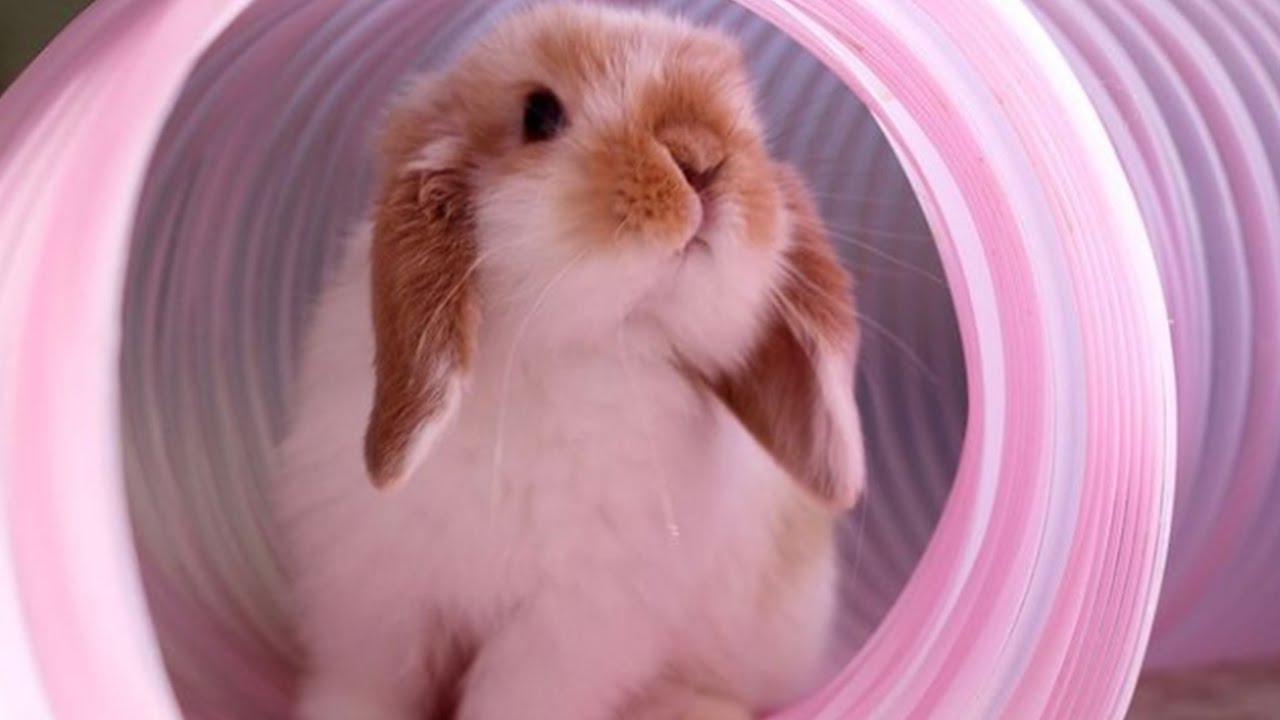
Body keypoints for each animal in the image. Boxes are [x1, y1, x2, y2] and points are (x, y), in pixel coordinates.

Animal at [272, 3, 866, 719]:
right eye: (540, 114)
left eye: (747, 115)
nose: (701, 157)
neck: (558, 353)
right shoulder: (374, 599)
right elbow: (365, 689)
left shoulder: (572, 626)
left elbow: (510, 699)